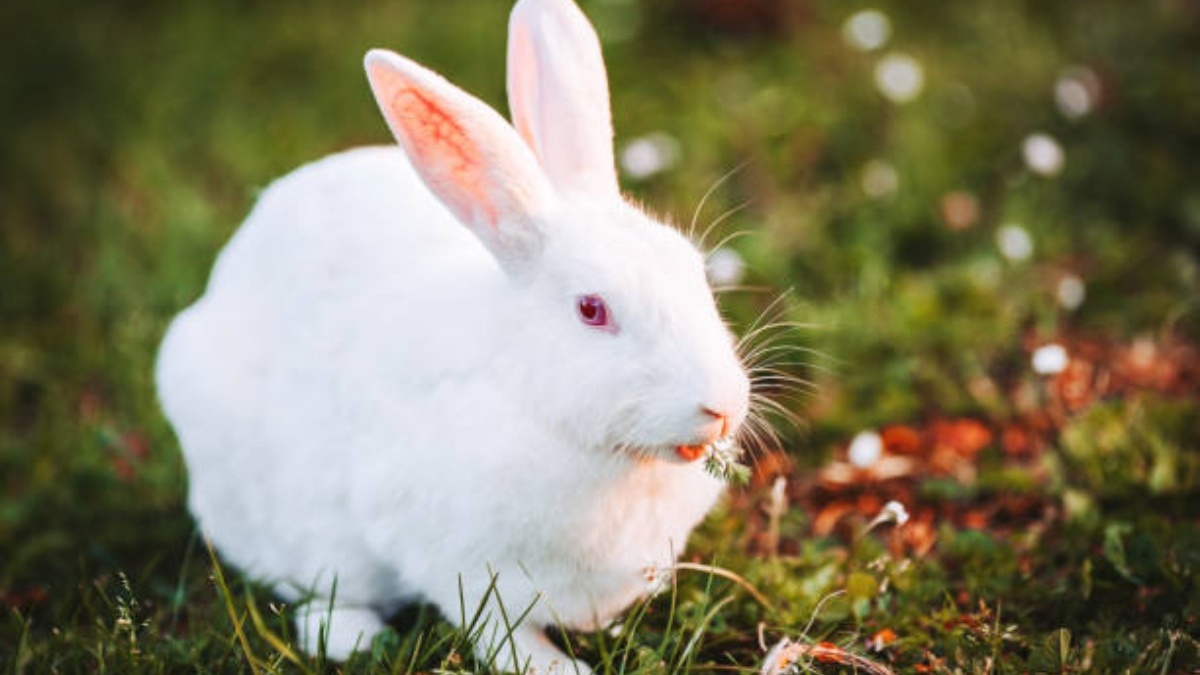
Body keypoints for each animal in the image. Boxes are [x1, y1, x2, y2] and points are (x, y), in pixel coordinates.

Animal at [155, 0, 751, 671]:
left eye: (694, 269)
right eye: (592, 310)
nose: (722, 406)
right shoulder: (460, 564)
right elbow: (497, 631)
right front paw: (556, 666)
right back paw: (355, 636)